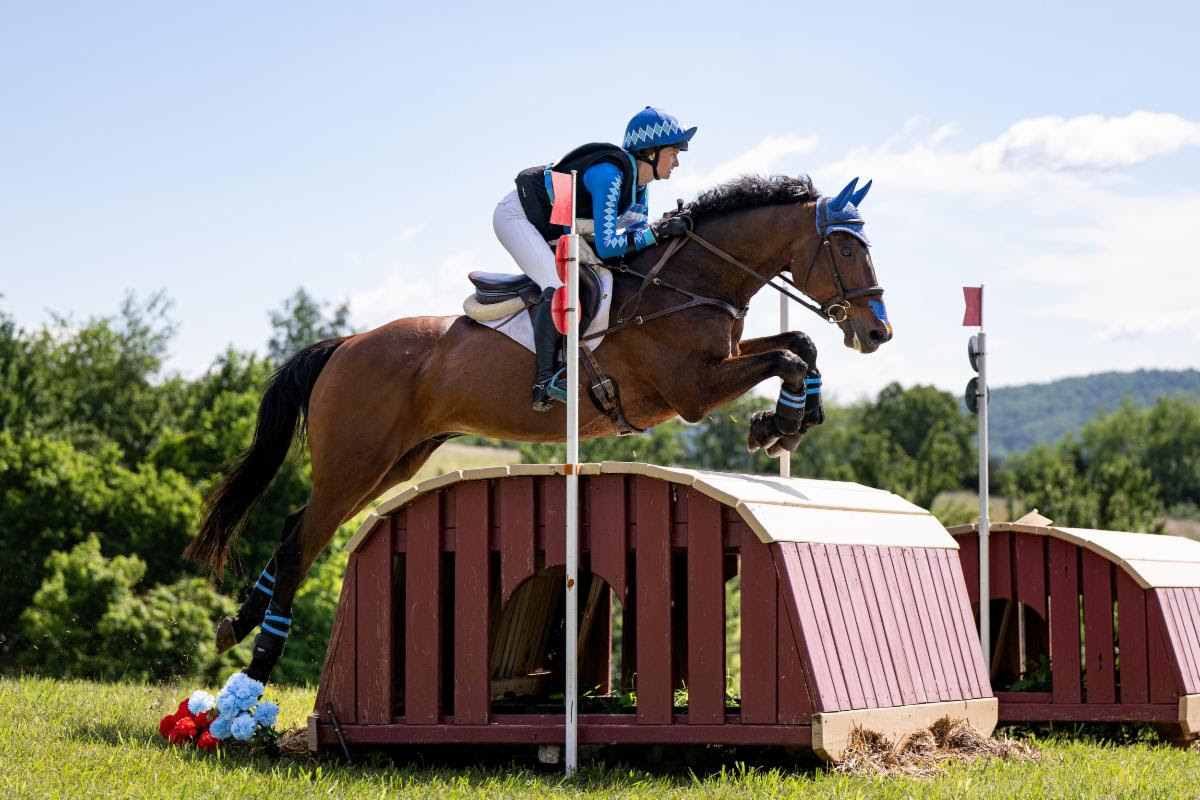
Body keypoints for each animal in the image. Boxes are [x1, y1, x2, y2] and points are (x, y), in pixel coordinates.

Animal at [184, 174, 893, 683]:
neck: (690, 281)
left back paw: (236, 627)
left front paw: (789, 419)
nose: (878, 332)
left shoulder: (720, 364)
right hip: (357, 461)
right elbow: (789, 355)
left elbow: (798, 344)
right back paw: (257, 671)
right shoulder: (692, 392)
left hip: (396, 460)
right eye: (848, 247)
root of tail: (346, 345)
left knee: (292, 528)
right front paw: (782, 423)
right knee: (302, 541)